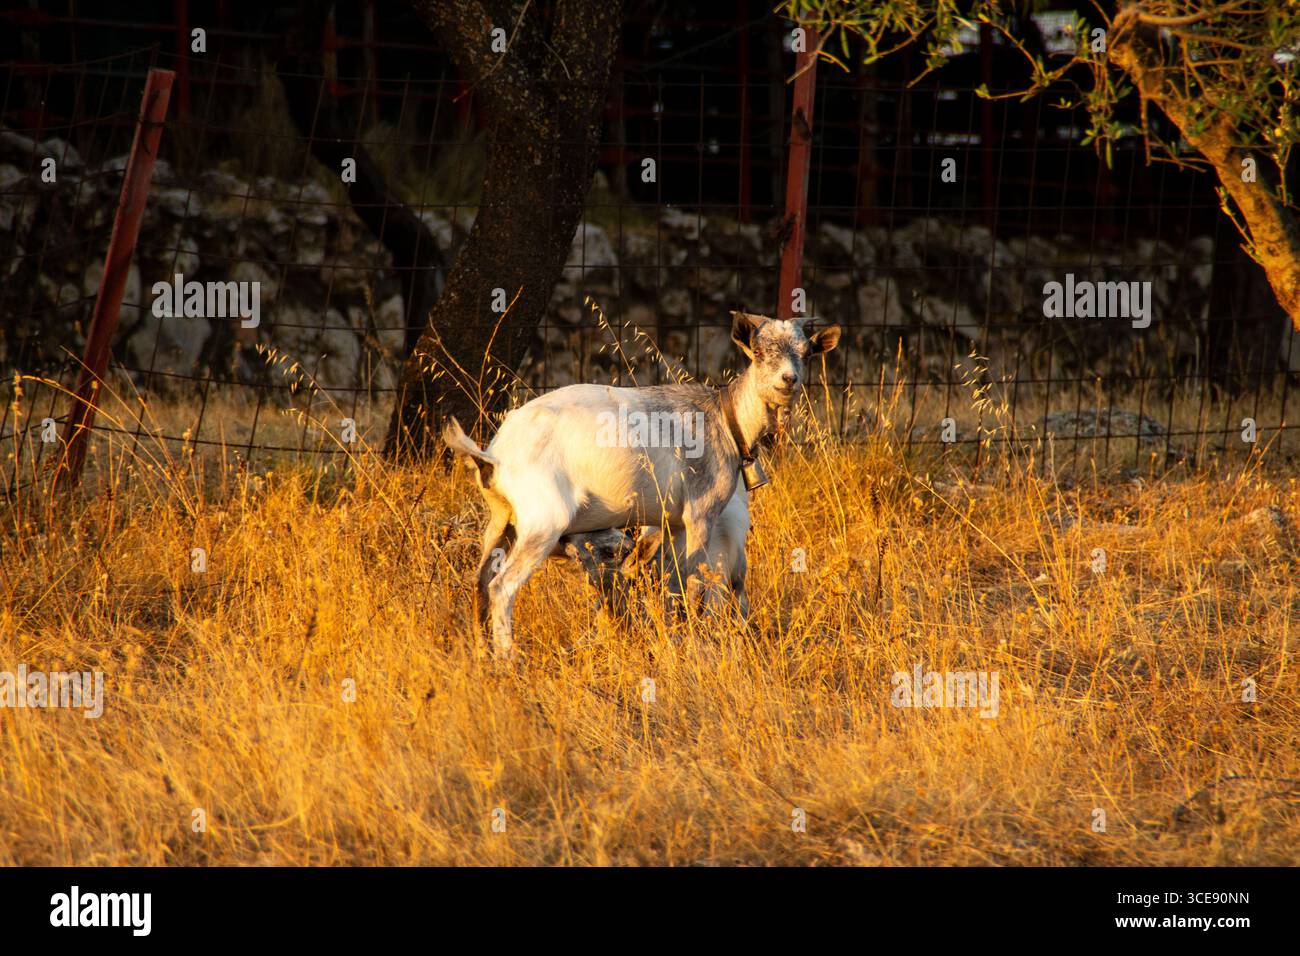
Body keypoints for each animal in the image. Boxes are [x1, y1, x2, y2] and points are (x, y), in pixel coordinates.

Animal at [444, 311, 840, 658]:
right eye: (758, 352)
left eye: (806, 352)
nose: (788, 379)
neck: (726, 420)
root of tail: (493, 455)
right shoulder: (701, 511)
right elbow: (694, 582)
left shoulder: (673, 523)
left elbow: (674, 584)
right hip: (543, 522)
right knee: (501, 586)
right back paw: (509, 658)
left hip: (501, 519)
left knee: (479, 581)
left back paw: (481, 654)